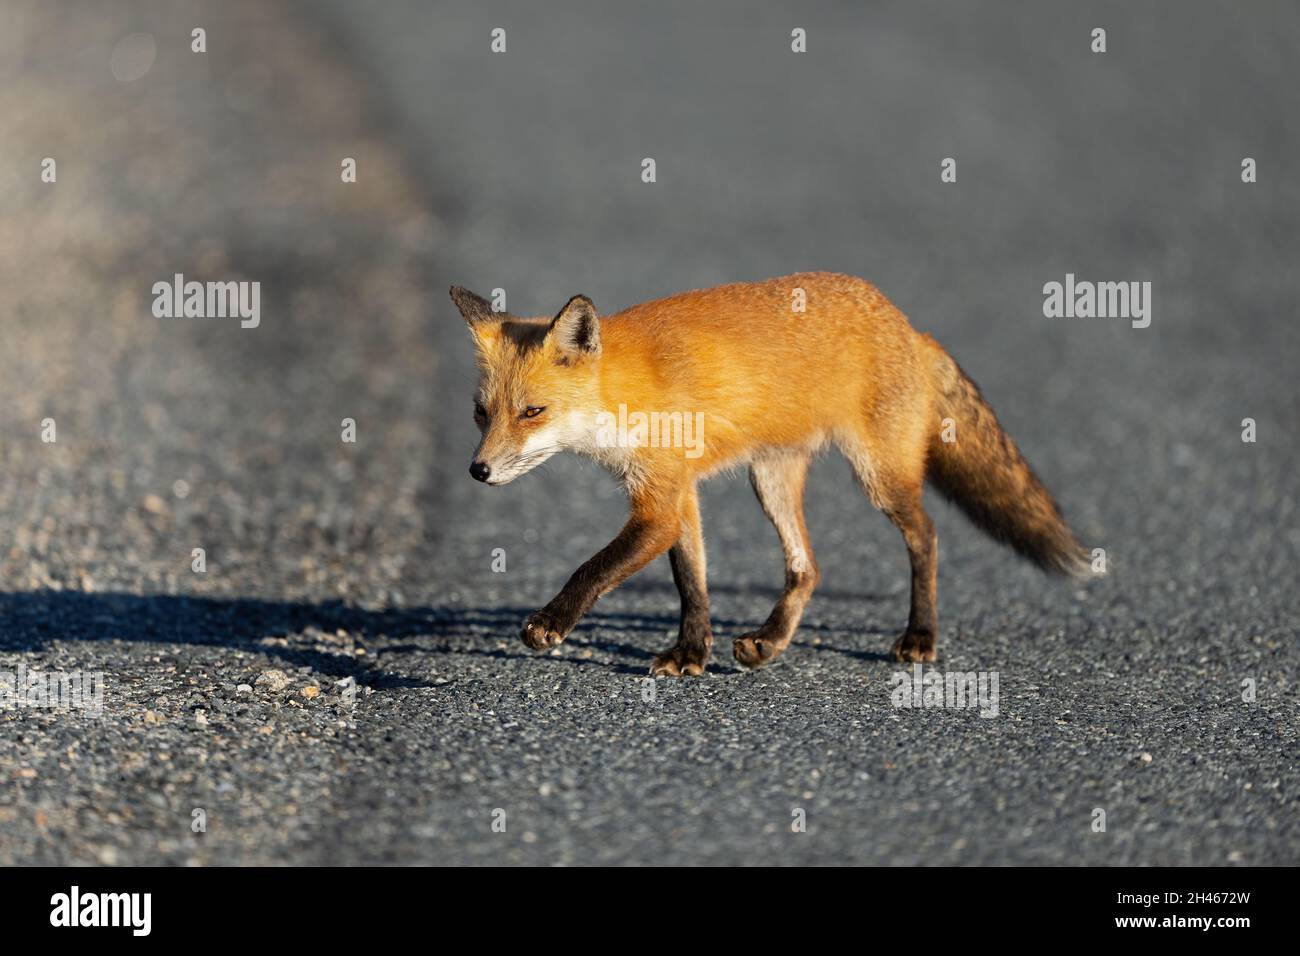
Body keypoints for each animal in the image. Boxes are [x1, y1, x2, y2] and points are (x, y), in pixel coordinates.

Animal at [450, 272, 1091, 676]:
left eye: (533, 412)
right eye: (481, 413)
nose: (478, 470)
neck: (628, 393)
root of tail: (910, 326)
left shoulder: (657, 503)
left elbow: (594, 568)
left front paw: (551, 623)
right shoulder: (677, 495)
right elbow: (692, 582)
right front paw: (692, 652)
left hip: (879, 477)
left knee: (926, 536)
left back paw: (921, 636)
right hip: (771, 480)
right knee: (808, 568)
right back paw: (770, 642)